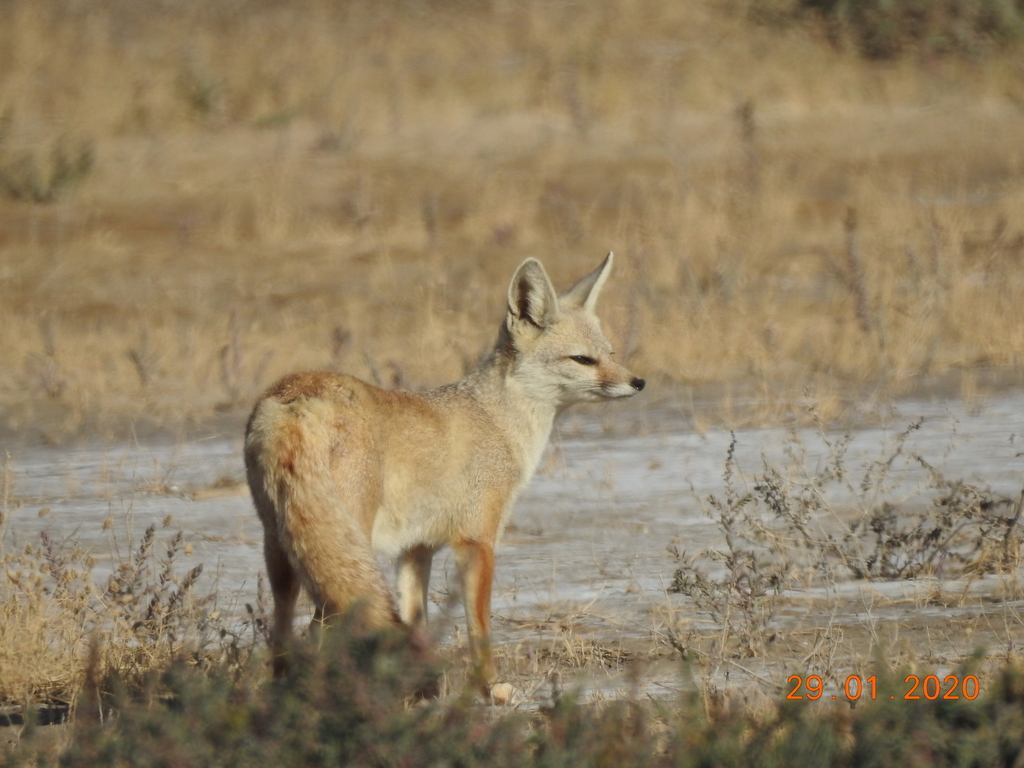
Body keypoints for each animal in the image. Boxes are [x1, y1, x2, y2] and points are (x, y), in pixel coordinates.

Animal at [244, 253, 644, 700]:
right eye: (583, 360)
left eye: (610, 353)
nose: (638, 382)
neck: (496, 420)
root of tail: (296, 396)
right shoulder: (478, 541)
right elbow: (478, 629)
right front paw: (489, 688)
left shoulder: (415, 550)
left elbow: (415, 621)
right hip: (344, 554)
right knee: (319, 633)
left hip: (285, 557)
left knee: (282, 637)